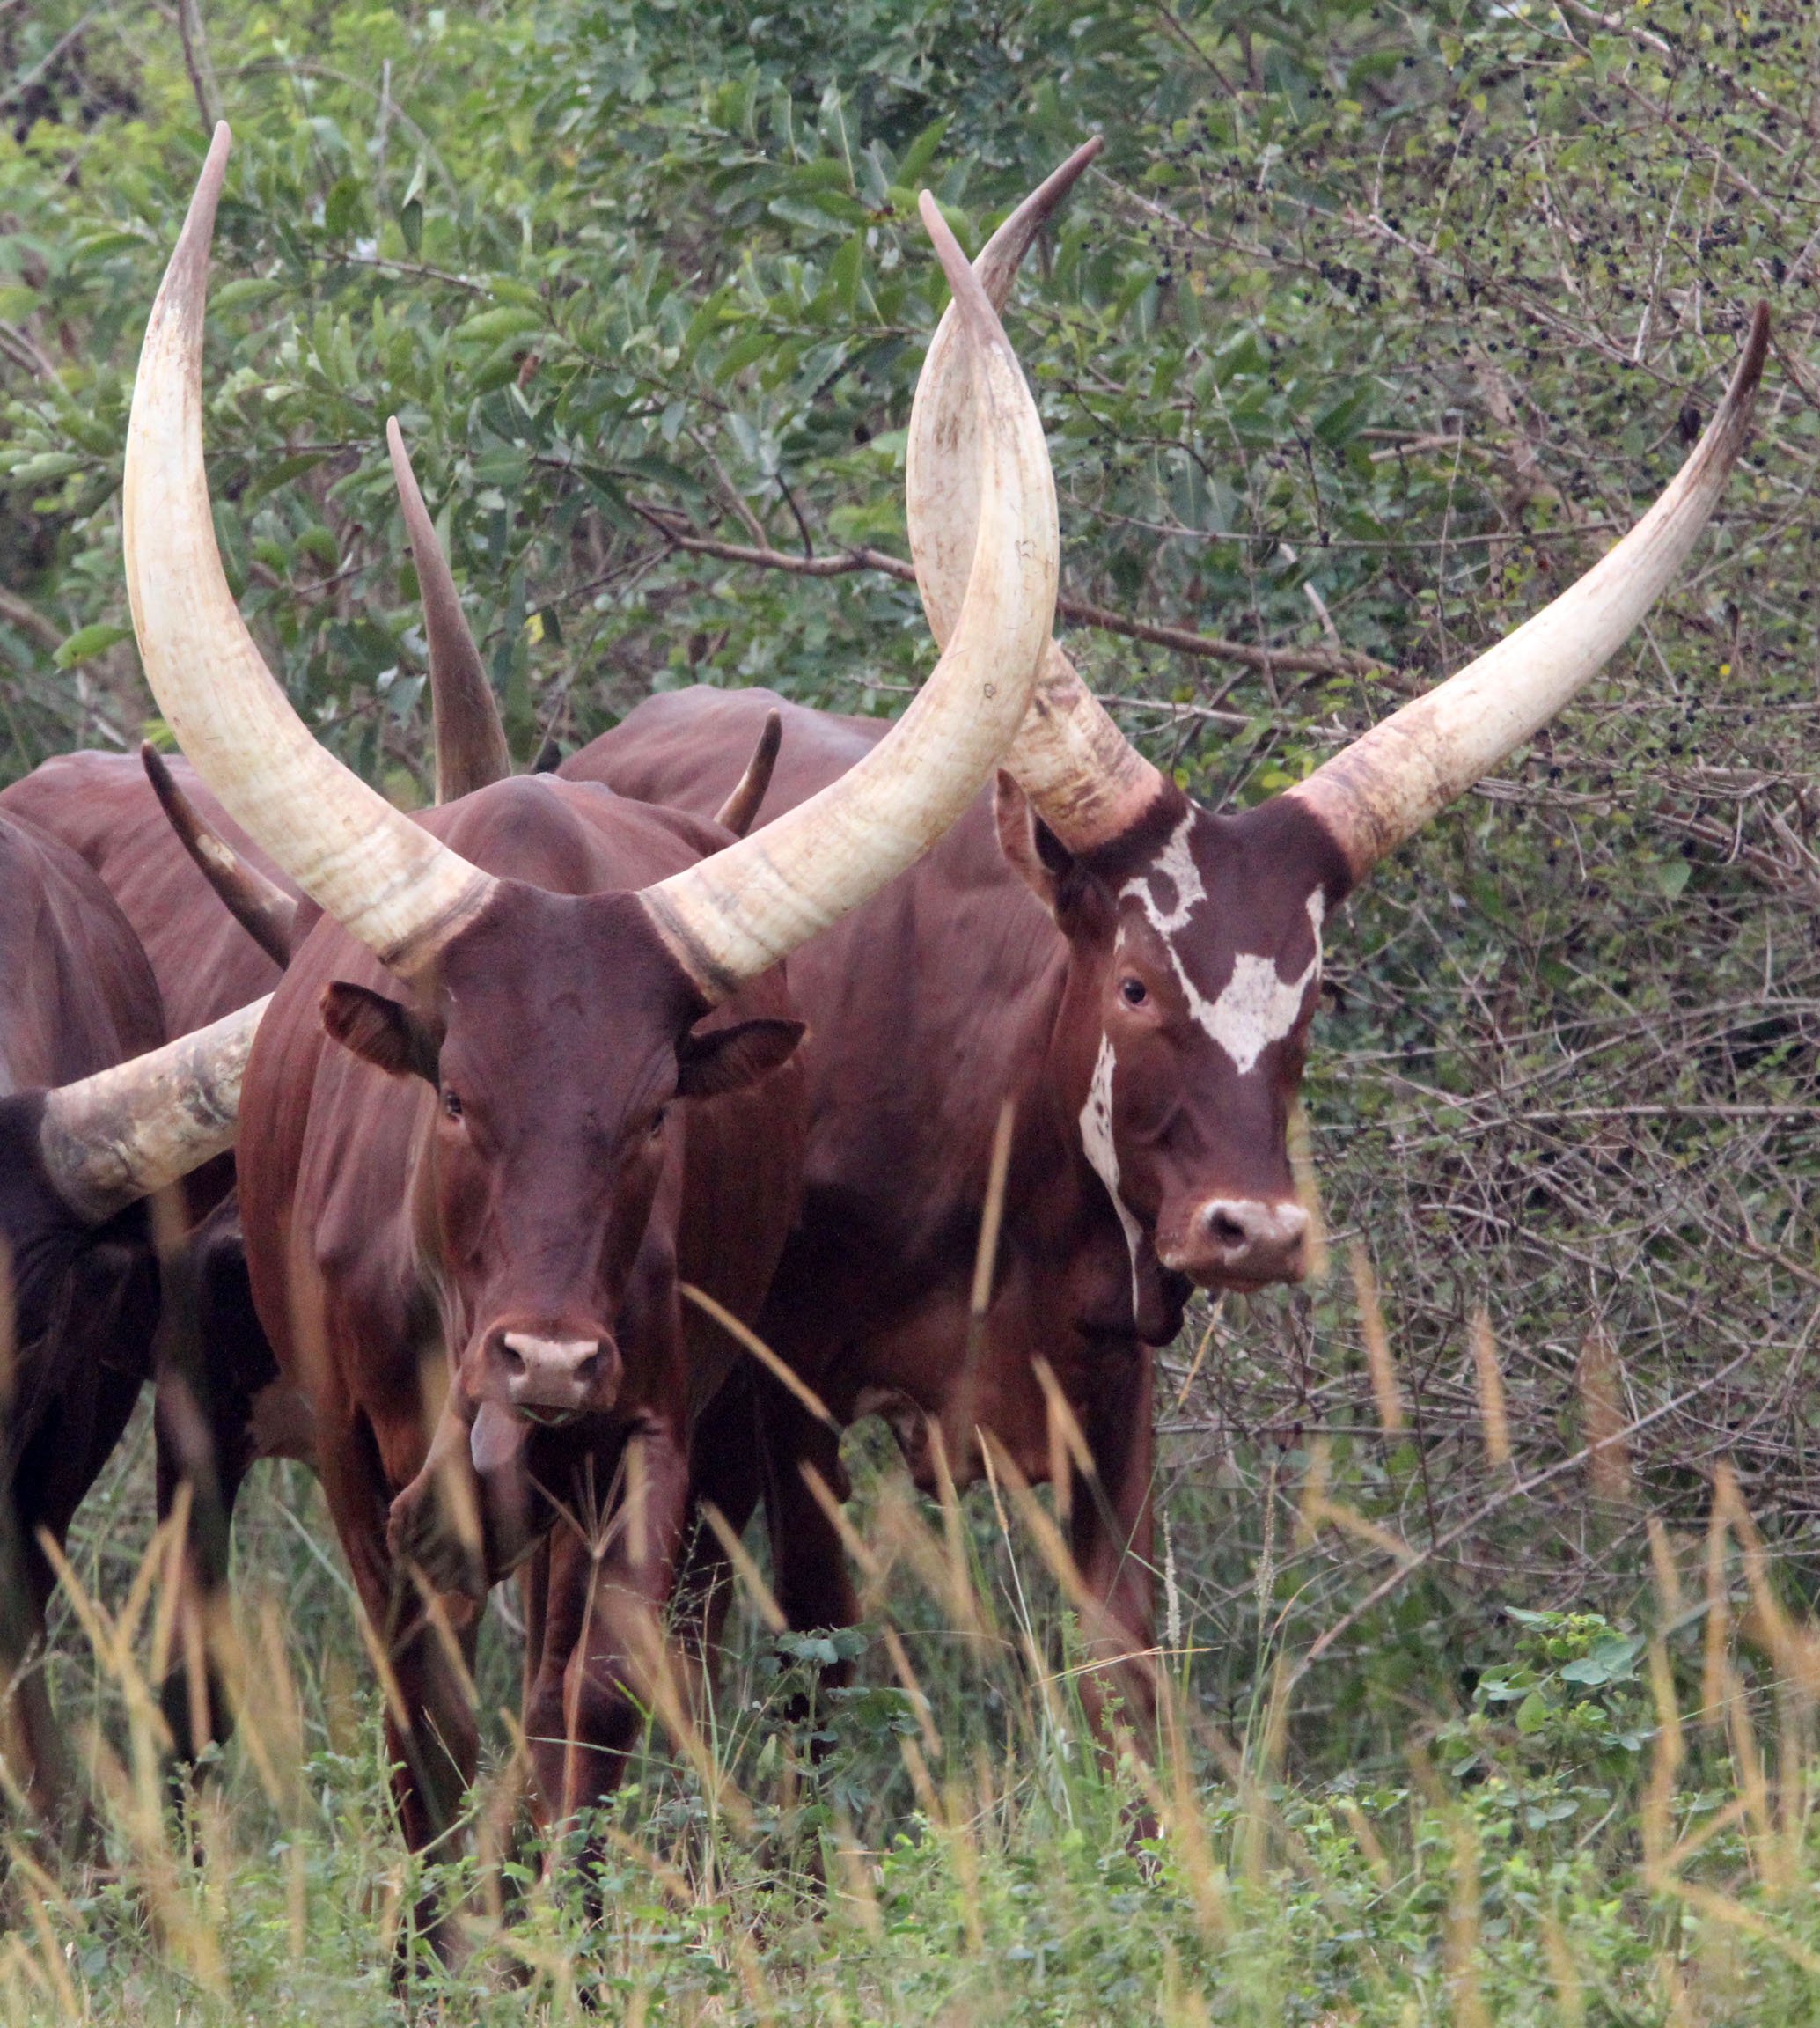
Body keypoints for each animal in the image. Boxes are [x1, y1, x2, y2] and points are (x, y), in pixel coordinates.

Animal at [114, 122, 1059, 1883]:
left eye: (653, 1114)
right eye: (453, 1095)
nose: (545, 1362)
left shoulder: (654, 1424)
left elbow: (590, 1706)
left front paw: (545, 1900)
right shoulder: (356, 1464)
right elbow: (424, 1743)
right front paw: (442, 1922)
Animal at [564, 146, 1769, 1730]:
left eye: (1317, 992)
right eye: (1134, 982)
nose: (1254, 1229)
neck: (980, 1146)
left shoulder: (1112, 1395)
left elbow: (1130, 1677)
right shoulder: (789, 1394)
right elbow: (820, 1667)